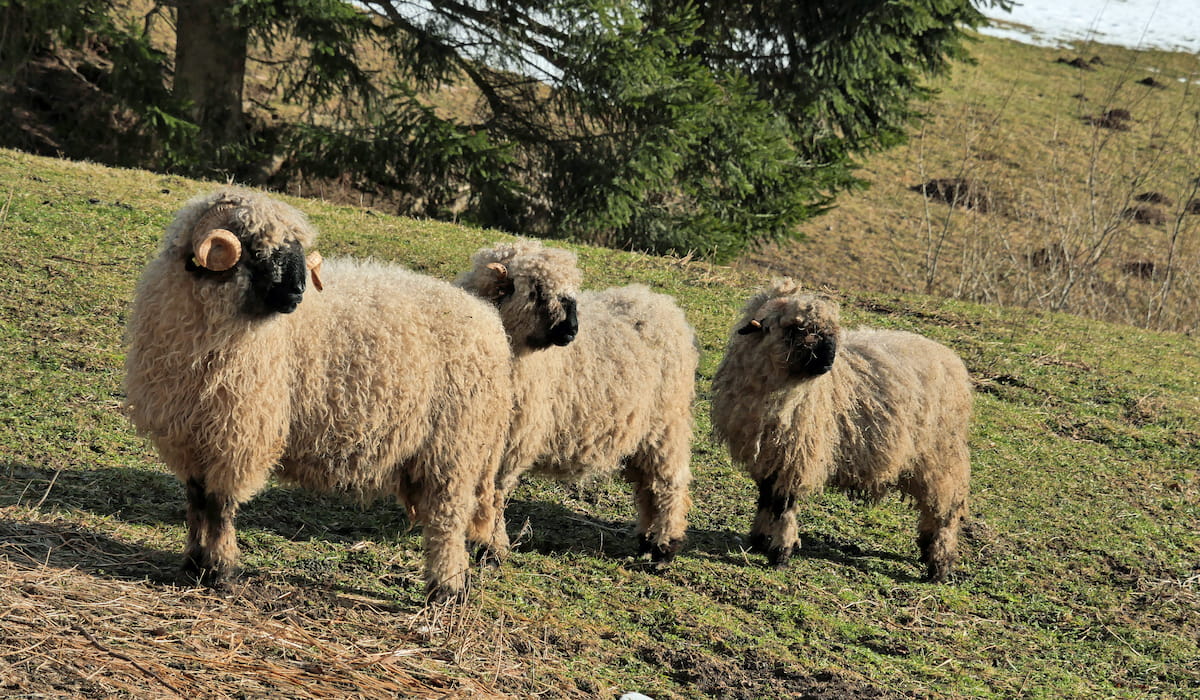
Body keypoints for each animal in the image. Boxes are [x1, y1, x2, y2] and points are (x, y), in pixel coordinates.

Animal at [122, 188, 512, 601]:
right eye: (257, 251)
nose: (297, 292)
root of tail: (486, 318)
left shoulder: (240, 435)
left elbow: (219, 506)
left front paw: (219, 570)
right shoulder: (189, 436)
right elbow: (197, 502)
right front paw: (194, 566)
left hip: (455, 445)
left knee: (447, 519)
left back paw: (447, 588)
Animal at [455, 239, 697, 564]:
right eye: (536, 290)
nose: (572, 330)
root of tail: (659, 302)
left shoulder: (511, 443)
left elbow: (494, 493)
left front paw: (492, 547)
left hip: (666, 424)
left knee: (668, 482)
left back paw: (664, 545)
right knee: (648, 485)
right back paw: (647, 541)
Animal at [710, 279, 972, 581]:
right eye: (796, 328)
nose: (828, 361)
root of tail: (950, 358)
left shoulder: (796, 456)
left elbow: (784, 506)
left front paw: (780, 552)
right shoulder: (771, 455)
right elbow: (767, 497)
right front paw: (759, 541)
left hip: (940, 458)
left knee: (946, 511)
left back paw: (939, 565)